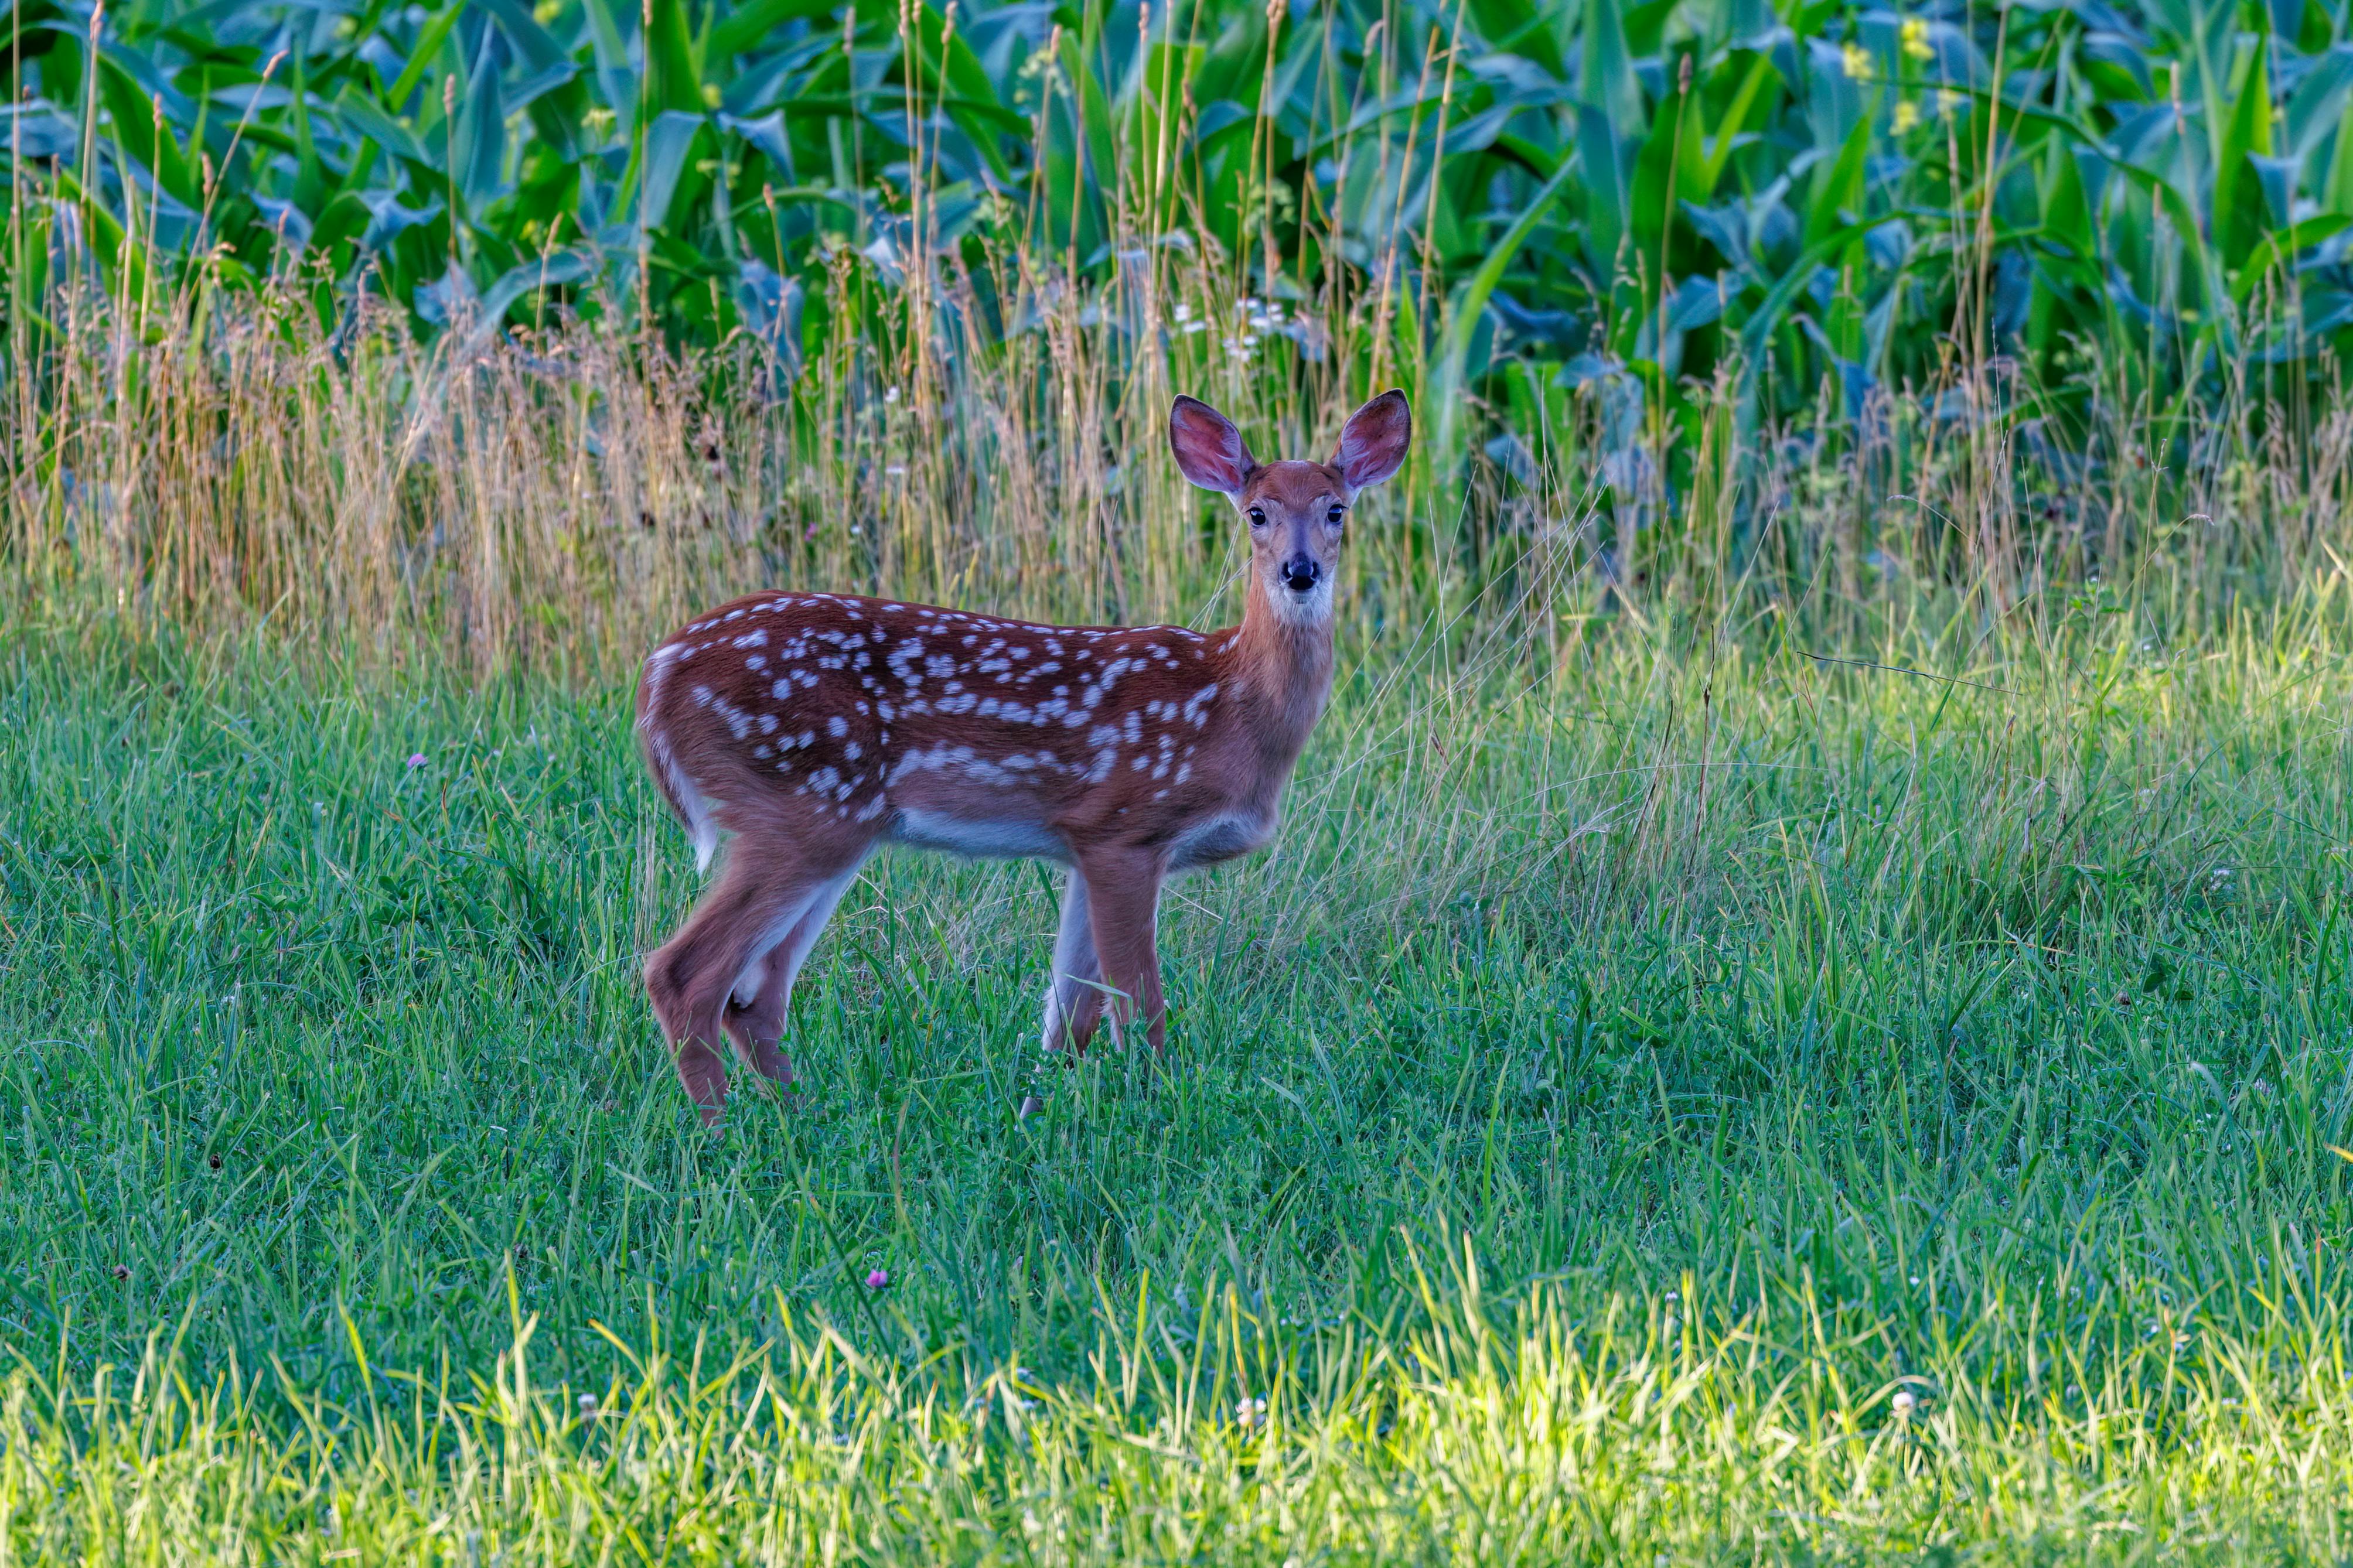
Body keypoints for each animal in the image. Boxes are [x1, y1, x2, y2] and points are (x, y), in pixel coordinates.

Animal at [634, 389, 1411, 1124]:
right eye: (1256, 513)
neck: (1230, 703)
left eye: (1336, 510)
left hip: (833, 826)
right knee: (685, 974)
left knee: (754, 1000)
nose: (1299, 571)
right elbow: (1138, 1010)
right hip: (800, 808)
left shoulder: (1082, 847)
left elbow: (1069, 1018)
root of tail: (660, 673)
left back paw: (806, 1122)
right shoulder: (1126, 827)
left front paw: (1032, 1121)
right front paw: (1156, 1116)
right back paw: (725, 1134)